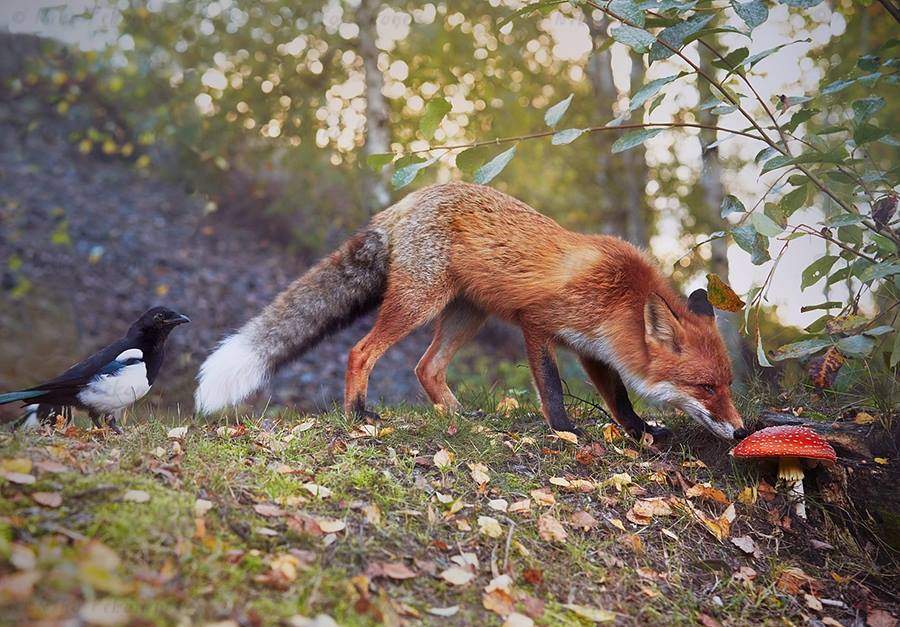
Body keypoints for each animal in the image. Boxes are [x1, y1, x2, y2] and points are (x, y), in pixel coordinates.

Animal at [195, 182, 747, 440]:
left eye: (728, 385)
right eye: (705, 388)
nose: (742, 431)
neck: (617, 295)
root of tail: (407, 200)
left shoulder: (592, 348)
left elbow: (620, 399)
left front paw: (640, 432)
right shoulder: (537, 322)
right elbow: (551, 387)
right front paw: (565, 429)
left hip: (466, 316)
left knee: (426, 368)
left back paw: (461, 416)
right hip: (420, 305)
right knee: (360, 351)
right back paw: (358, 413)